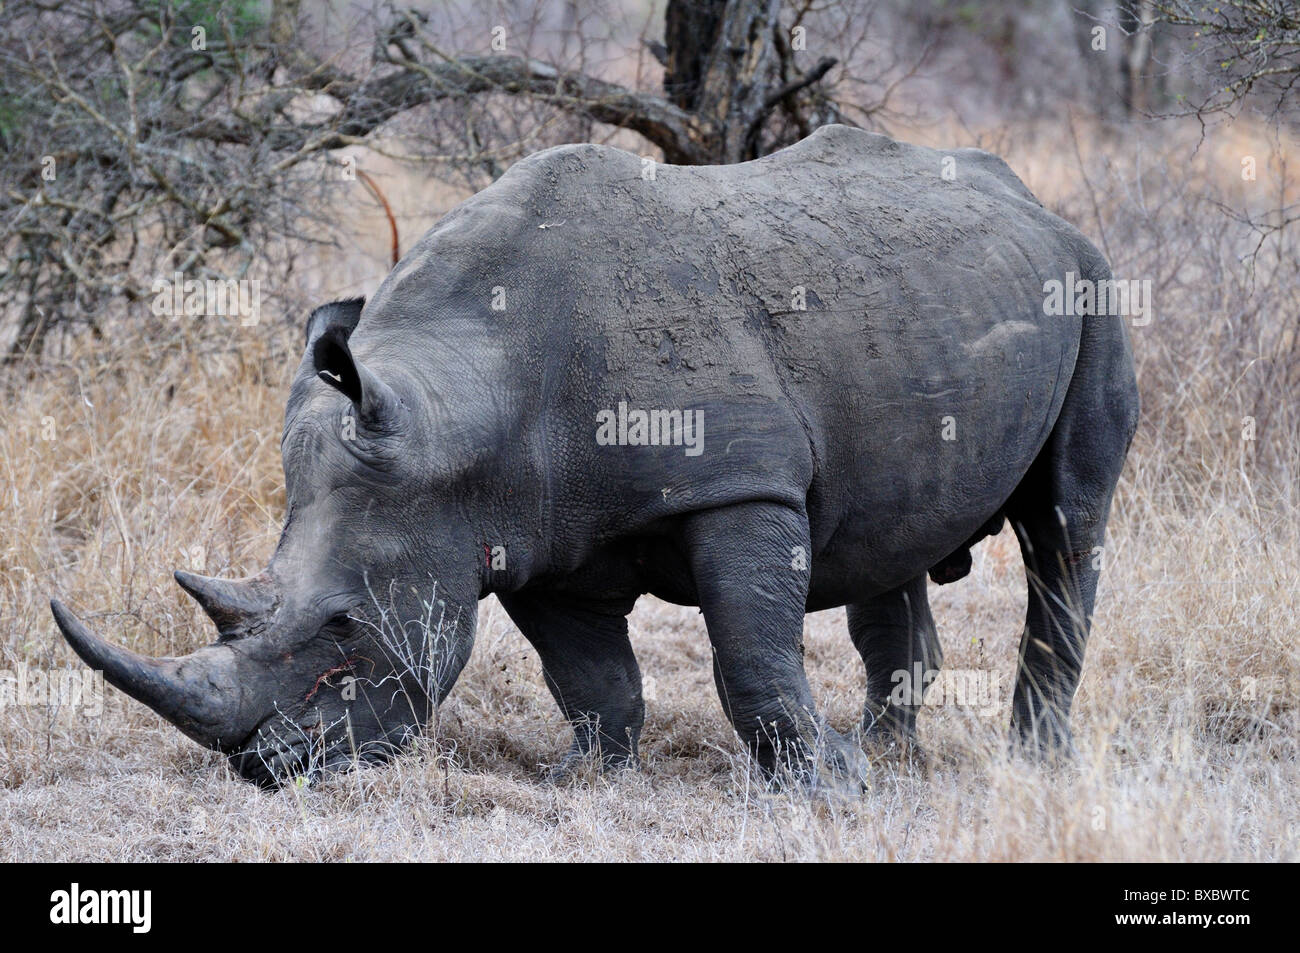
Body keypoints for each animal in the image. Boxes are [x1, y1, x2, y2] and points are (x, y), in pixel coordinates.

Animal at [51, 125, 1139, 786]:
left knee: (1064, 524)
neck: (468, 405)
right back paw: (891, 751)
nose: (266, 768)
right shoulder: (521, 526)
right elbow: (588, 672)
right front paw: (585, 774)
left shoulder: (738, 484)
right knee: (892, 538)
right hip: (920, 310)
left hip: (1090, 280)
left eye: (344, 632)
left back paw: (1028, 761)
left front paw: (827, 788)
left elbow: (752, 652)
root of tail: (1034, 201)